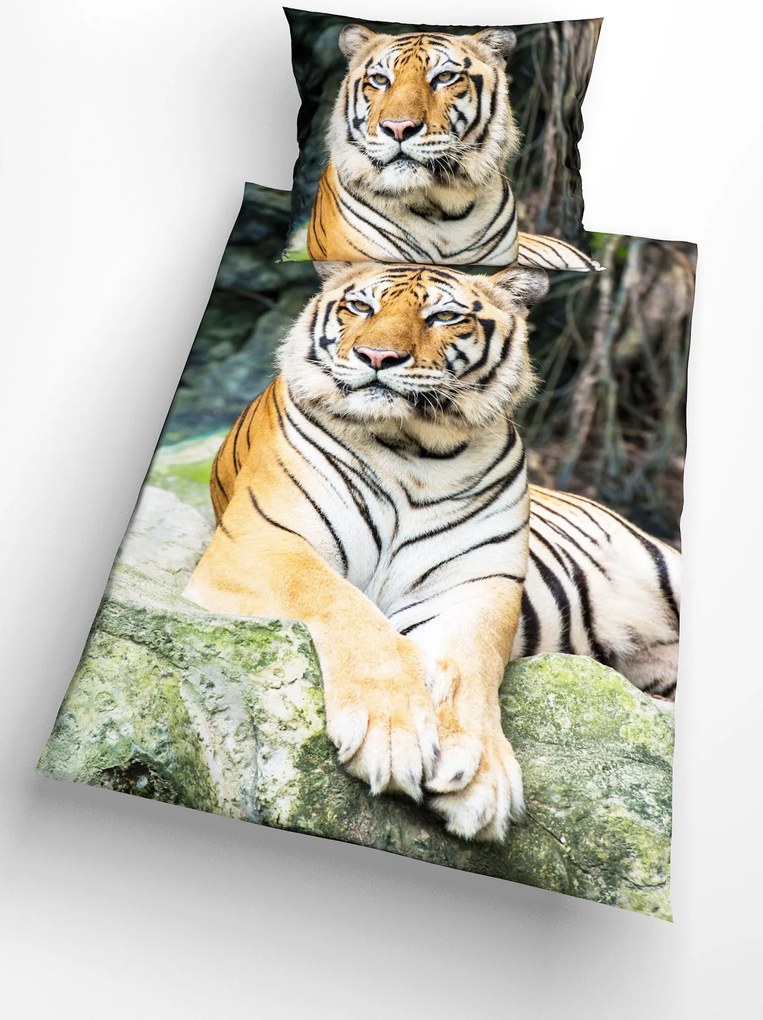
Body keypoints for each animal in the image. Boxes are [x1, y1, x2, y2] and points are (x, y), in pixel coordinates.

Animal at [184, 261, 680, 843]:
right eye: (361, 307)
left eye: (443, 317)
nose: (377, 357)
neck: (412, 447)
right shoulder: (263, 541)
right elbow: (344, 606)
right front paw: (390, 732)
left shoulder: (475, 584)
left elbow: (471, 665)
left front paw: (478, 774)